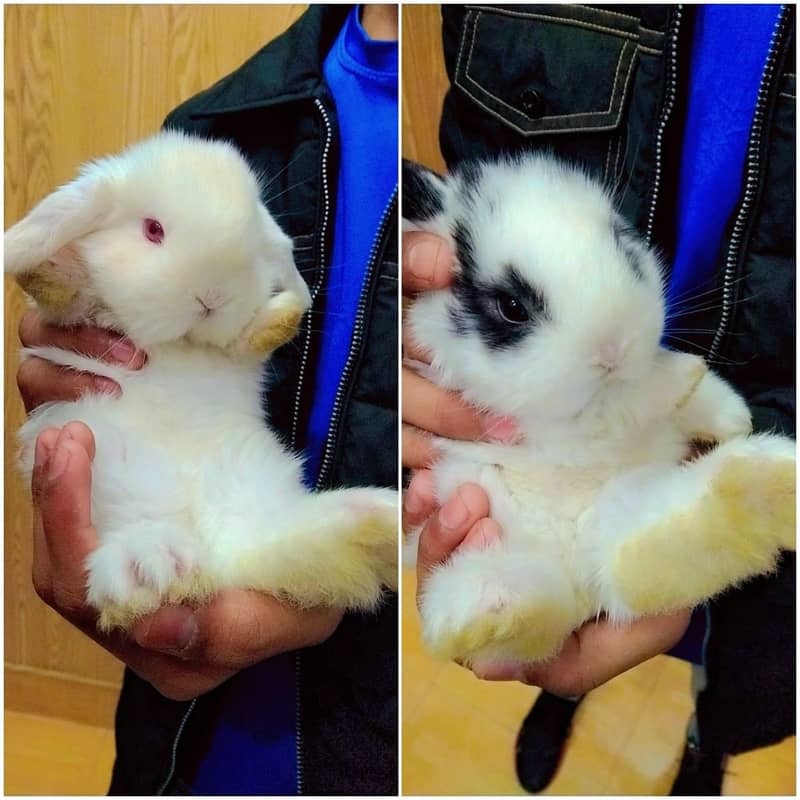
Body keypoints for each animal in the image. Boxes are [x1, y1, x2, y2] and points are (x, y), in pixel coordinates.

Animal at [6, 130, 398, 632]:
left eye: (251, 244)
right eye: (153, 230)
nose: (212, 298)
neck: (180, 343)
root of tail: (215, 558)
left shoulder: (237, 352)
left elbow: (249, 341)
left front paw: (285, 312)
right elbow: (69, 293)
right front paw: (51, 265)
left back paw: (373, 522)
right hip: (111, 474)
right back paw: (153, 566)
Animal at [402, 154, 795, 673]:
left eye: (624, 246)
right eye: (512, 307)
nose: (612, 349)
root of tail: (581, 575)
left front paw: (730, 414)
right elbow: (626, 408)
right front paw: (682, 378)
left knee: (640, 557)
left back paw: (759, 488)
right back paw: (484, 614)